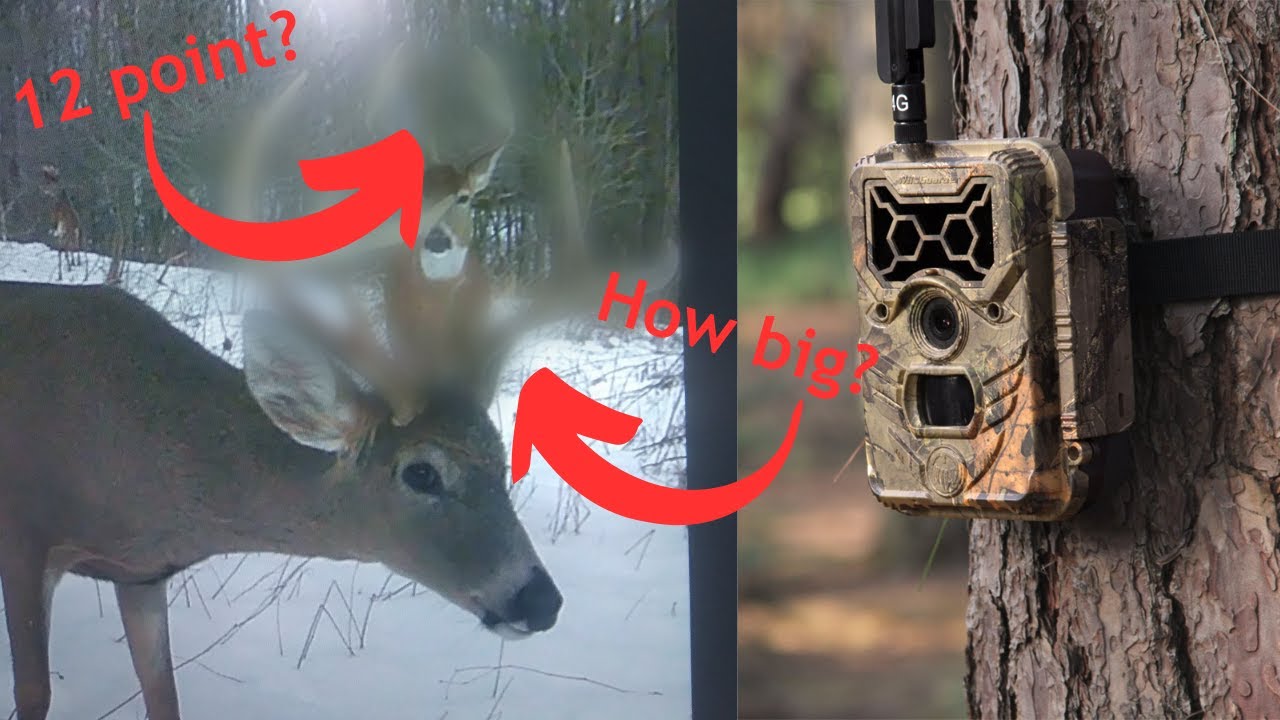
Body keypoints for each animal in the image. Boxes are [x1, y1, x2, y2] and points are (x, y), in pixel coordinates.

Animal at [0, 44, 590, 720]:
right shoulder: (22, 532)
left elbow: (163, 695)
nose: (538, 600)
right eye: (421, 472)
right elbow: (35, 693)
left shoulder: (140, 572)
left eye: (502, 460)